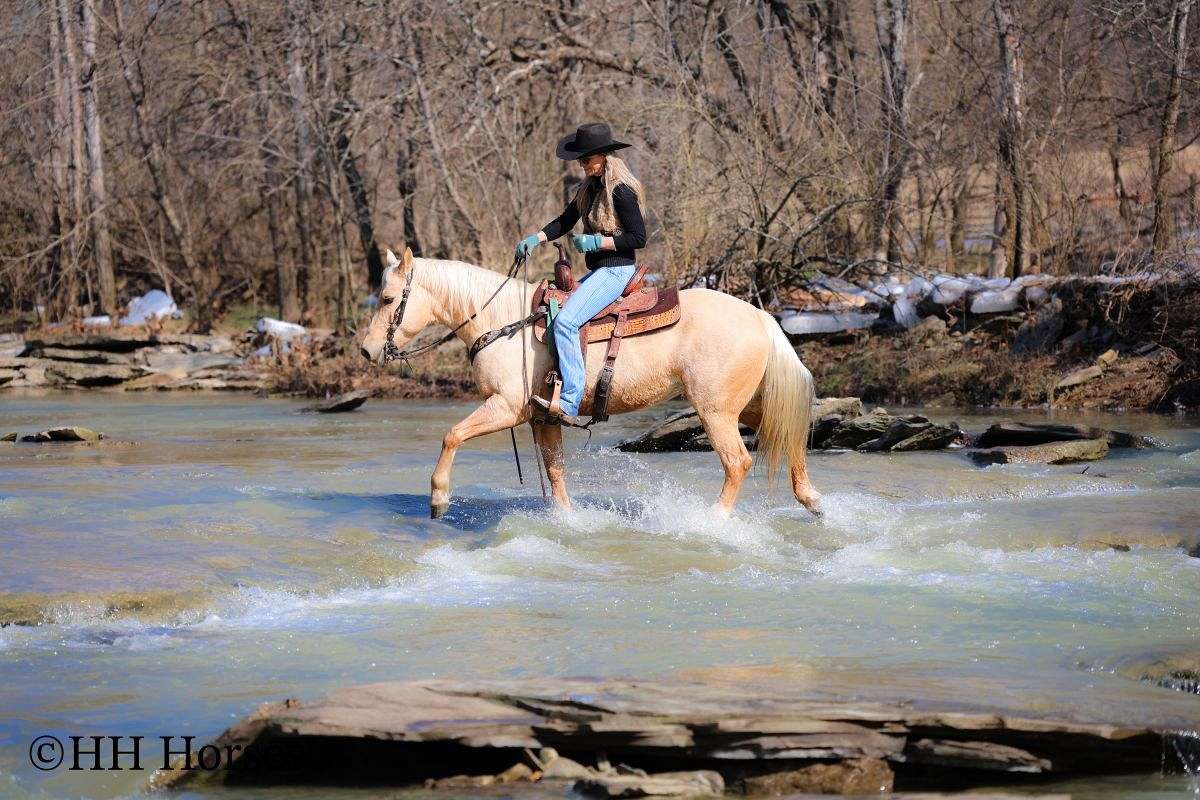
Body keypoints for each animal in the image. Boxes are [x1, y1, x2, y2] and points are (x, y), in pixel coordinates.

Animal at [358, 247, 820, 519]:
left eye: (387, 299)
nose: (366, 350)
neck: (503, 322)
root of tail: (760, 316)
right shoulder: (541, 418)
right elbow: (555, 472)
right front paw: (566, 521)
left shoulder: (505, 407)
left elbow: (451, 435)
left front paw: (438, 499)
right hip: (753, 404)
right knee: (790, 438)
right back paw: (812, 502)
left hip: (717, 411)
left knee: (738, 462)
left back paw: (713, 521)